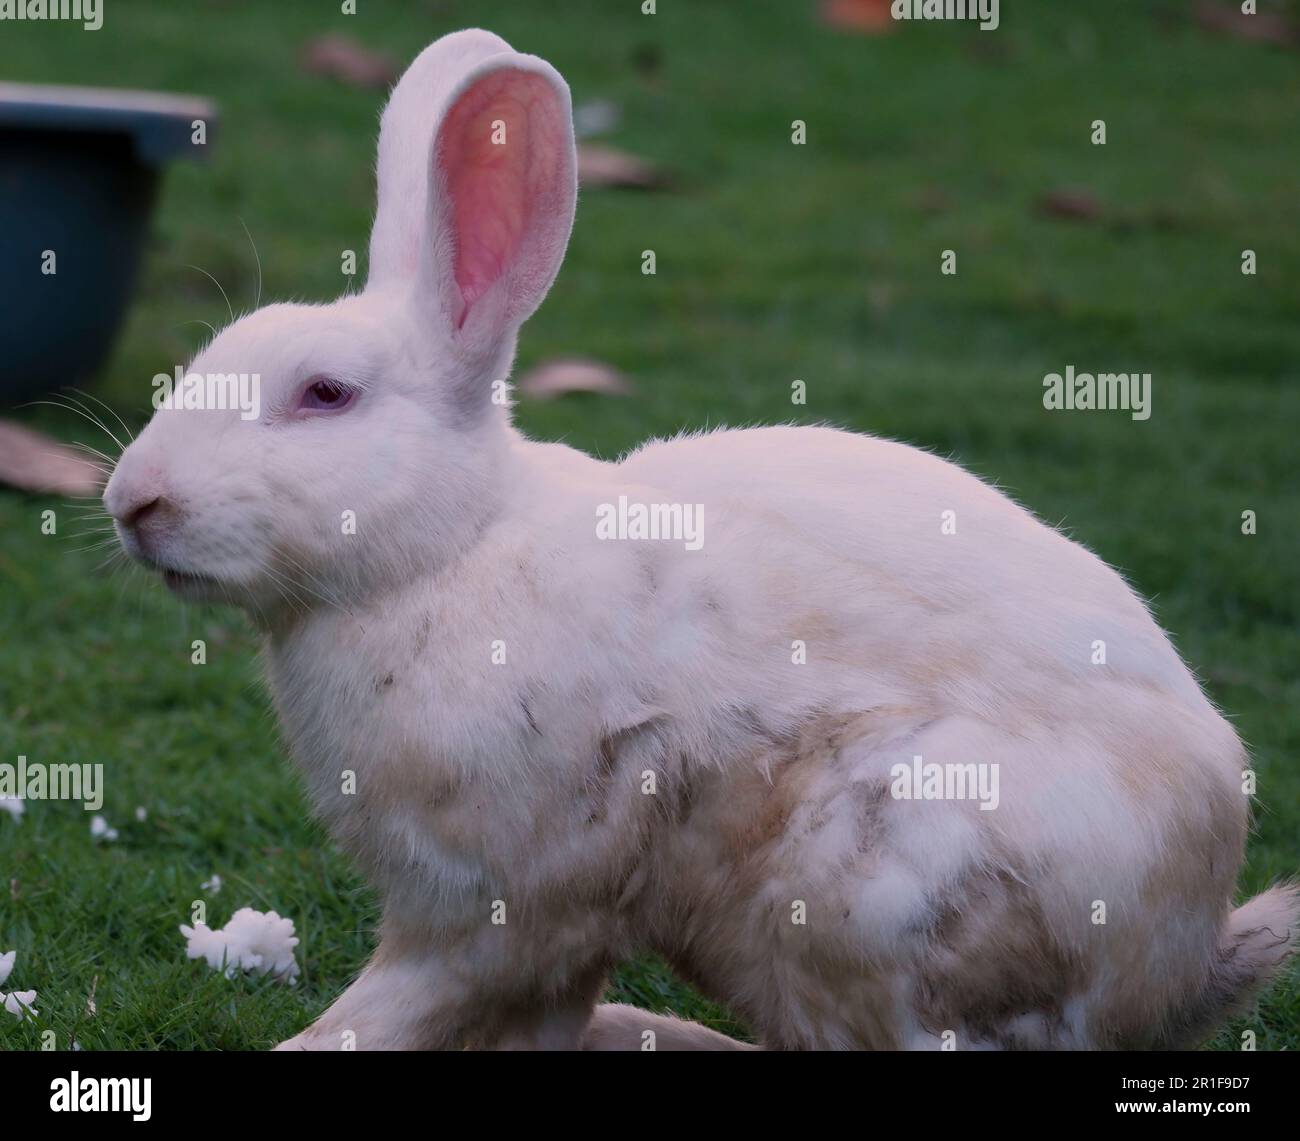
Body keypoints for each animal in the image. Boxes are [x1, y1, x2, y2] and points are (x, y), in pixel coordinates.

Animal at [103, 28, 1297, 1051]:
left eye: (325, 394)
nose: (132, 501)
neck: (452, 553)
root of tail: (1186, 959)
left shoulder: (494, 900)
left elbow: (398, 1002)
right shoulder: (539, 927)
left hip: (874, 891)